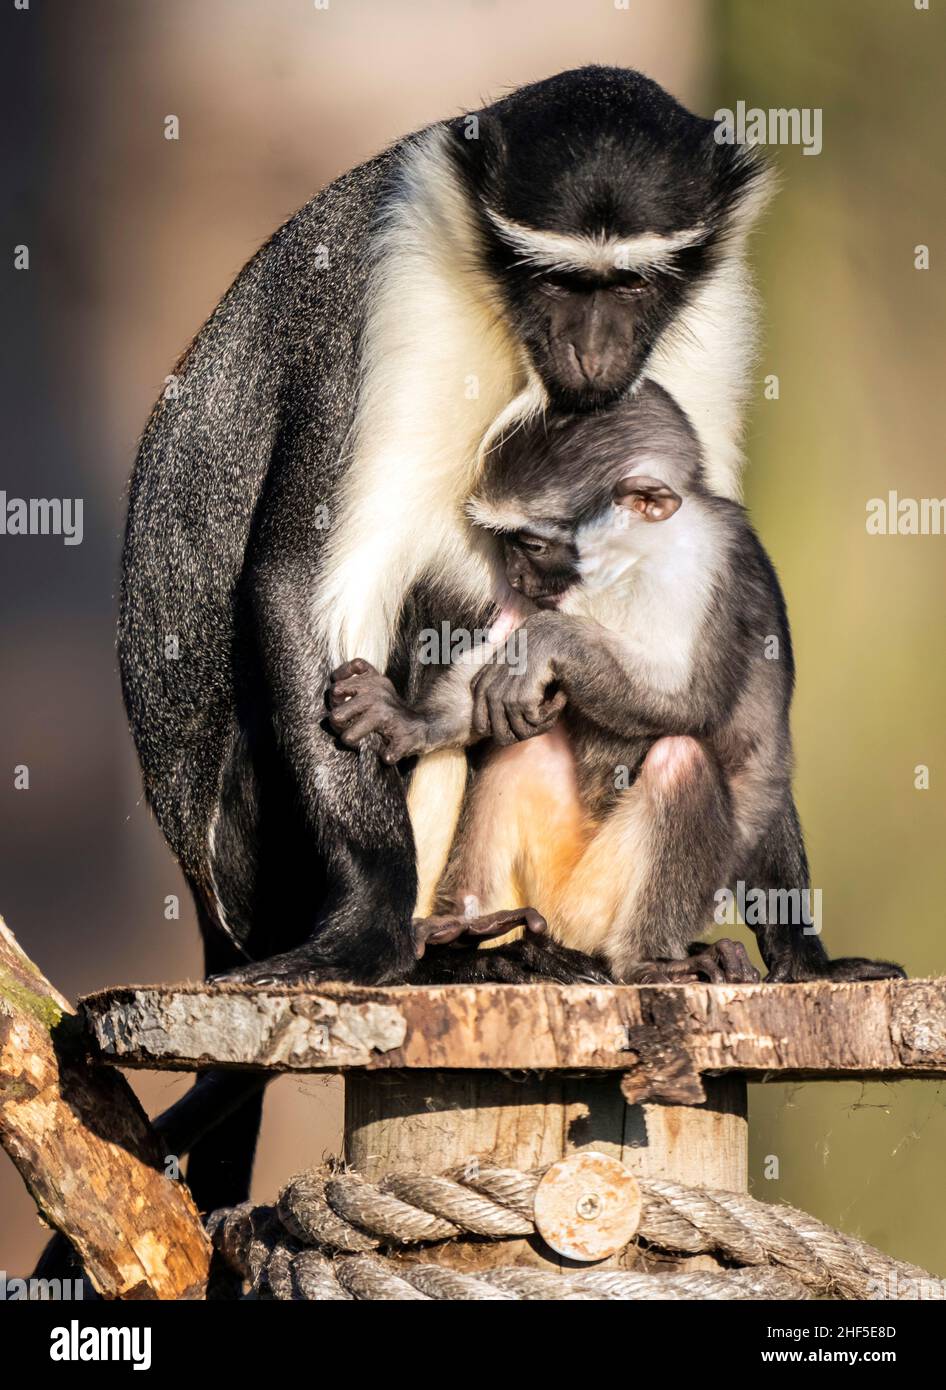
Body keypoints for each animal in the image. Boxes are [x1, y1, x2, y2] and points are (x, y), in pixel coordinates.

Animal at [118, 65, 784, 1210]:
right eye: (550, 275)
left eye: (634, 282)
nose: (594, 352)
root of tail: (208, 914)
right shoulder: (392, 291)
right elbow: (302, 580)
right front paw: (369, 929)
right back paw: (449, 950)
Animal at [327, 380, 905, 988]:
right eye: (505, 543)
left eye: (532, 544)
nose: (515, 577)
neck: (629, 570)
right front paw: (409, 719)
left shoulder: (715, 561)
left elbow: (693, 704)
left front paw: (549, 640)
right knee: (521, 746)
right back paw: (469, 933)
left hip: (604, 901)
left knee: (682, 760)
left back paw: (645, 959)